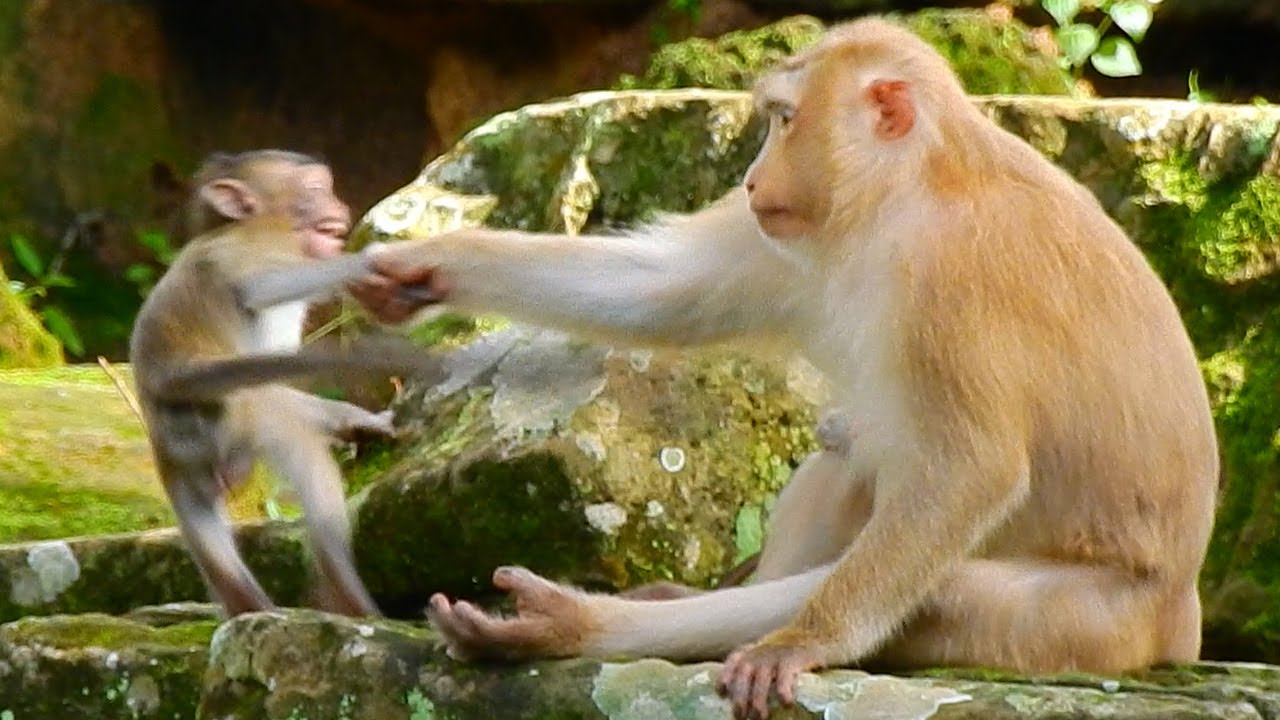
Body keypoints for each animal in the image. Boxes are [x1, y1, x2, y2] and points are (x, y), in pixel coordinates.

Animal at [130, 149, 445, 619]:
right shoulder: (257, 247)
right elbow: (268, 285)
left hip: (185, 458)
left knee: (207, 534)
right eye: (315, 189)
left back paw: (250, 607)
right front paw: (377, 261)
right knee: (302, 450)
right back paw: (352, 596)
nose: (340, 207)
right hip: (235, 418)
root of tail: (164, 386)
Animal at [355, 17, 1218, 720]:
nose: (750, 180)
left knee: (944, 587)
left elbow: (971, 469)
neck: (909, 187)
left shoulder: (954, 279)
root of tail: (1180, 621)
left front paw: (806, 640)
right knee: (847, 459)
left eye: (784, 120)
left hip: (1090, 624)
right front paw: (432, 267)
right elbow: (661, 291)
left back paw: (575, 626)